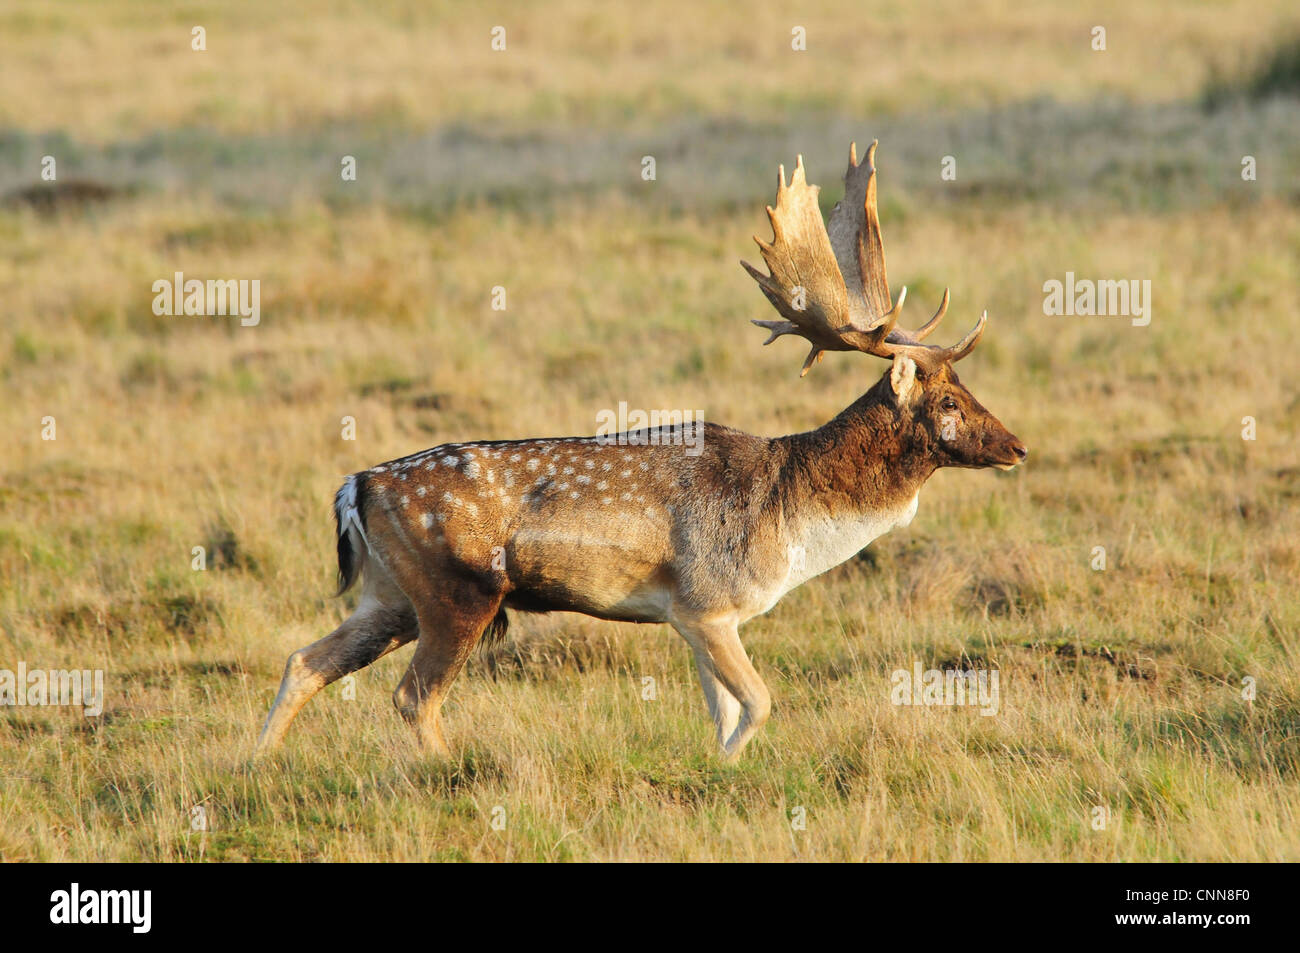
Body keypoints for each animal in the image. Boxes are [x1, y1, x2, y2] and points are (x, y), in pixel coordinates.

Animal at [255, 141, 1027, 762]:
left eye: (968, 386)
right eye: (948, 401)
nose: (1017, 445)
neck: (795, 519)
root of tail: (356, 485)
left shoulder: (698, 617)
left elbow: (724, 713)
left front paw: (719, 768)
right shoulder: (708, 600)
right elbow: (758, 703)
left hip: (390, 593)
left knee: (304, 660)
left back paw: (253, 764)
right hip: (459, 590)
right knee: (413, 696)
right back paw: (448, 771)